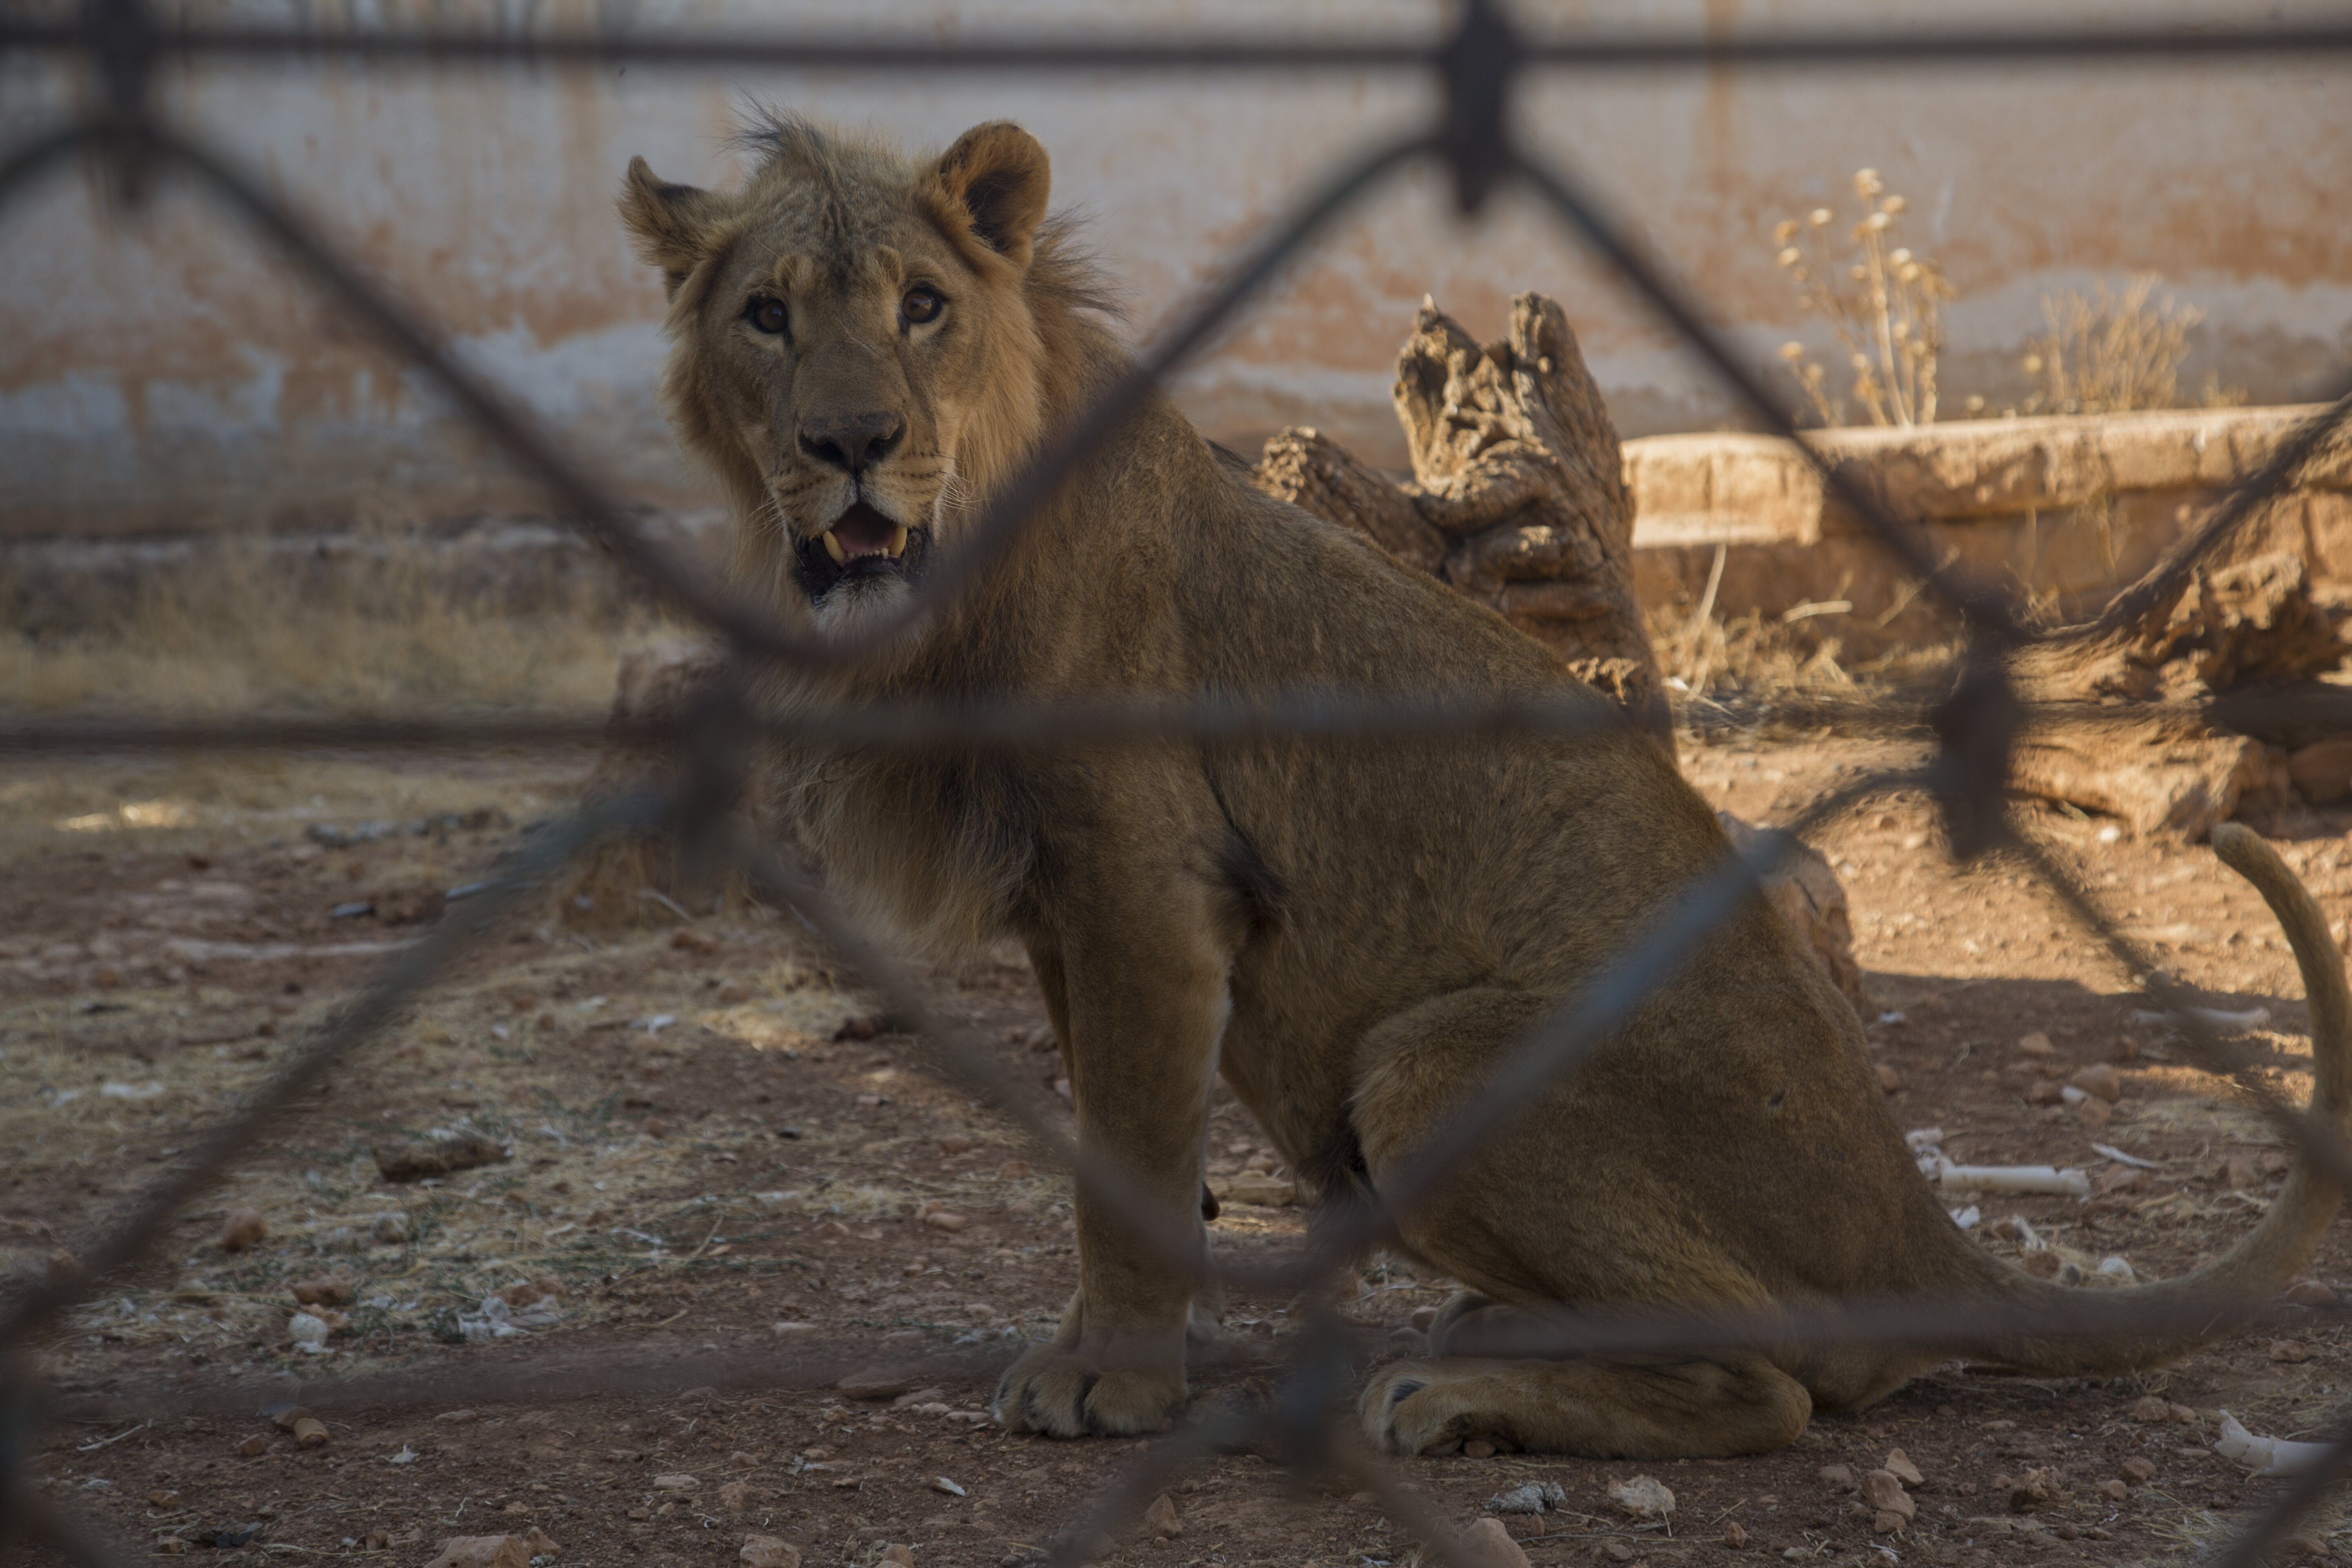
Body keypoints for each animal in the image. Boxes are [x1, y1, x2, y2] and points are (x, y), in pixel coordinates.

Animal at [618, 113, 2351, 1458]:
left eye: (922, 306)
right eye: (765, 316)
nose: (851, 442)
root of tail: (1913, 1225)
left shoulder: (1146, 893)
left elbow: (1128, 1165)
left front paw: (1109, 1382)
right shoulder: (1066, 909)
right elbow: (1116, 1152)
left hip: (1428, 1066)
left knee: (1774, 1385)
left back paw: (1451, 1400)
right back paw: (1483, 1342)